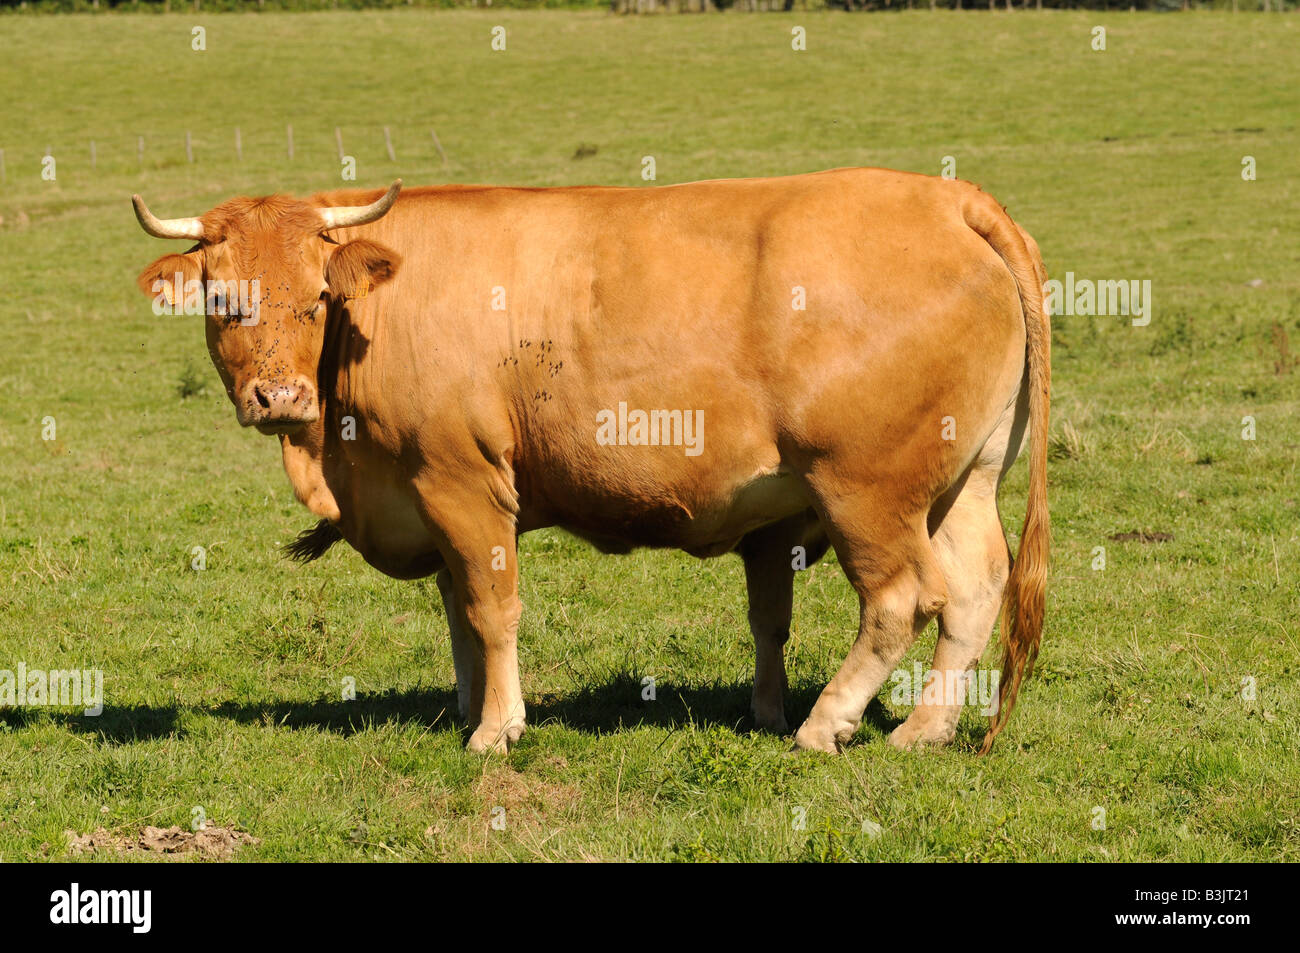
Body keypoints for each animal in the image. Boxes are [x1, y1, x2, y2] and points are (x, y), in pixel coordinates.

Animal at [132, 167, 1049, 756]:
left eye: (316, 296)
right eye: (223, 299)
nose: (279, 397)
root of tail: (948, 198)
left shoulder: (463, 480)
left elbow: (492, 607)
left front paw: (496, 727)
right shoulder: (425, 494)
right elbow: (458, 610)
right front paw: (465, 703)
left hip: (865, 490)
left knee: (901, 600)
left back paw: (826, 724)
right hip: (962, 482)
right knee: (974, 592)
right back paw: (924, 728)